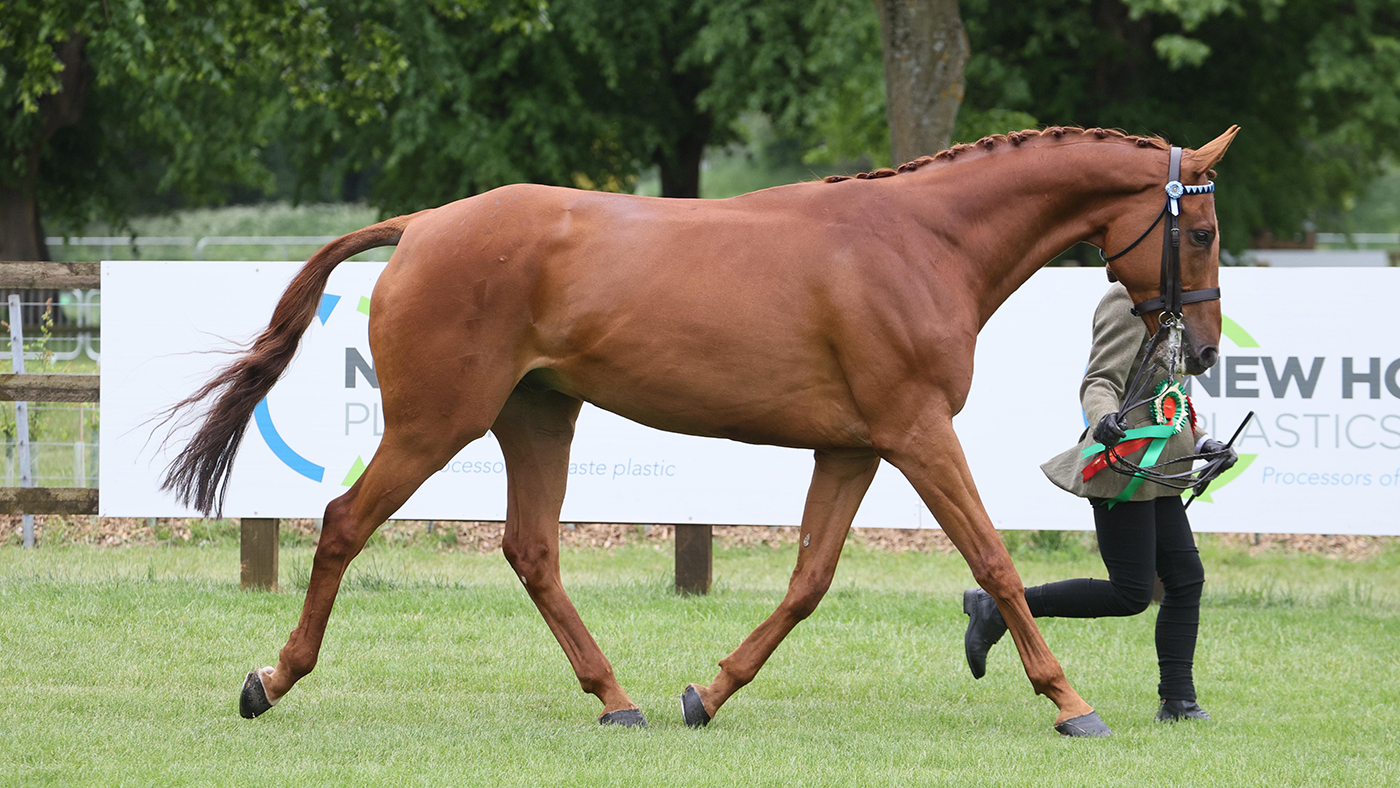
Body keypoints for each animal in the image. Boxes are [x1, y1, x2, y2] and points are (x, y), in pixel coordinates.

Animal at [164, 124, 1238, 736]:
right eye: (1199, 232)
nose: (1202, 350)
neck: (920, 243)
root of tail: (422, 225)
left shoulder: (855, 447)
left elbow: (809, 581)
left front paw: (708, 695)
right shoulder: (917, 433)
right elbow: (995, 563)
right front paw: (1071, 703)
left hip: (537, 418)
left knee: (532, 550)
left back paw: (619, 699)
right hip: (437, 424)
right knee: (345, 524)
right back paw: (272, 680)